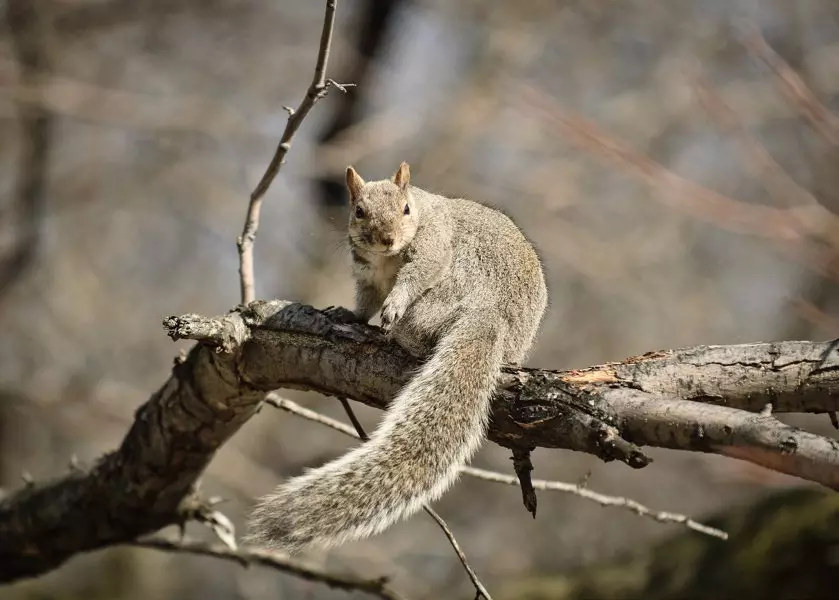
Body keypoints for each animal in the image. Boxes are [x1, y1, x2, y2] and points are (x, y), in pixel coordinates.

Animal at [246, 162, 548, 552]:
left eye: (405, 208)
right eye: (359, 211)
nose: (387, 238)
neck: (388, 258)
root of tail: (491, 313)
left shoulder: (432, 246)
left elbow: (411, 279)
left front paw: (392, 306)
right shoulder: (368, 277)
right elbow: (366, 302)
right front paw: (350, 315)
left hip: (443, 291)